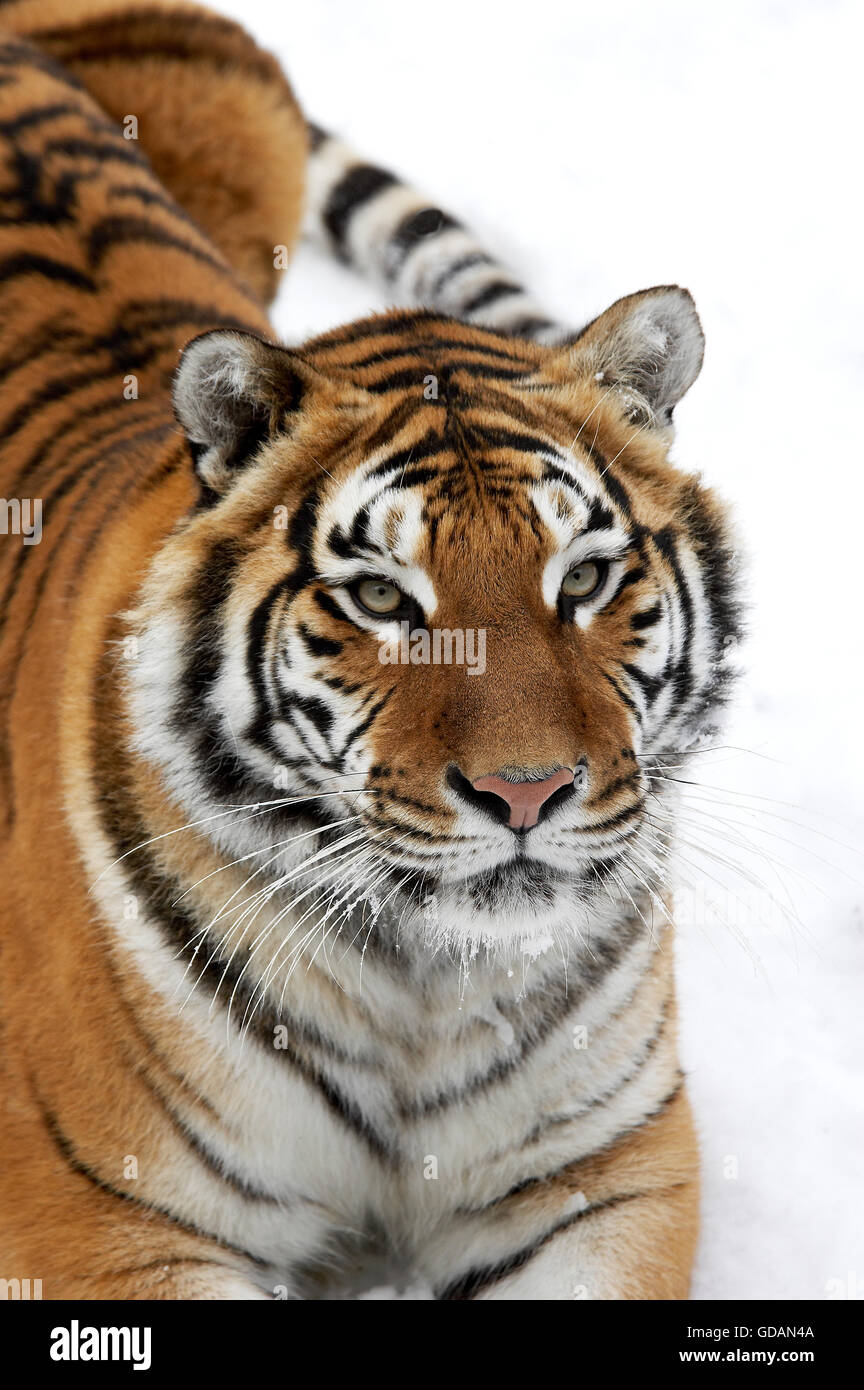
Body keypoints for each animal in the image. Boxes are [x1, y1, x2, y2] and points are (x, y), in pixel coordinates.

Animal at [0, 0, 740, 1300]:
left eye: (584, 577)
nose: (527, 792)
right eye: (385, 598)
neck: (425, 984)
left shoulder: (608, 1168)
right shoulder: (106, 1207)